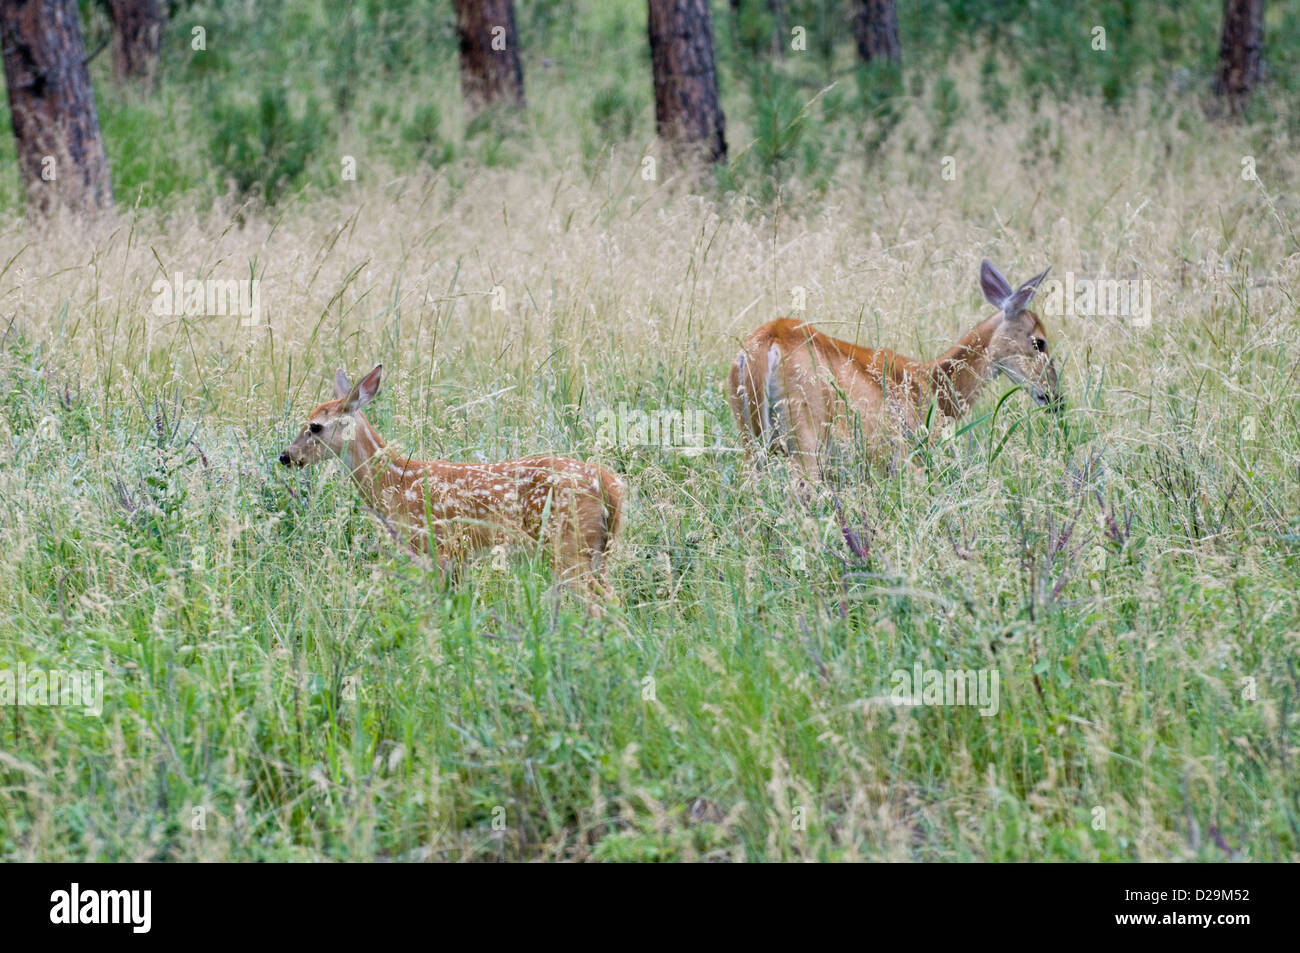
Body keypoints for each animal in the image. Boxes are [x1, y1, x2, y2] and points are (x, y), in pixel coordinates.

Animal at [278, 364, 625, 609]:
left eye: (315, 426)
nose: (285, 456)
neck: (394, 480)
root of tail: (610, 485)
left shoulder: (432, 546)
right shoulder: (459, 556)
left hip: (568, 544)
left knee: (603, 600)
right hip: (597, 551)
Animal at [728, 259, 1061, 474]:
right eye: (1039, 342)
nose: (1054, 396)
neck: (937, 384)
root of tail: (768, 340)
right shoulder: (909, 454)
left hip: (750, 438)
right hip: (806, 435)